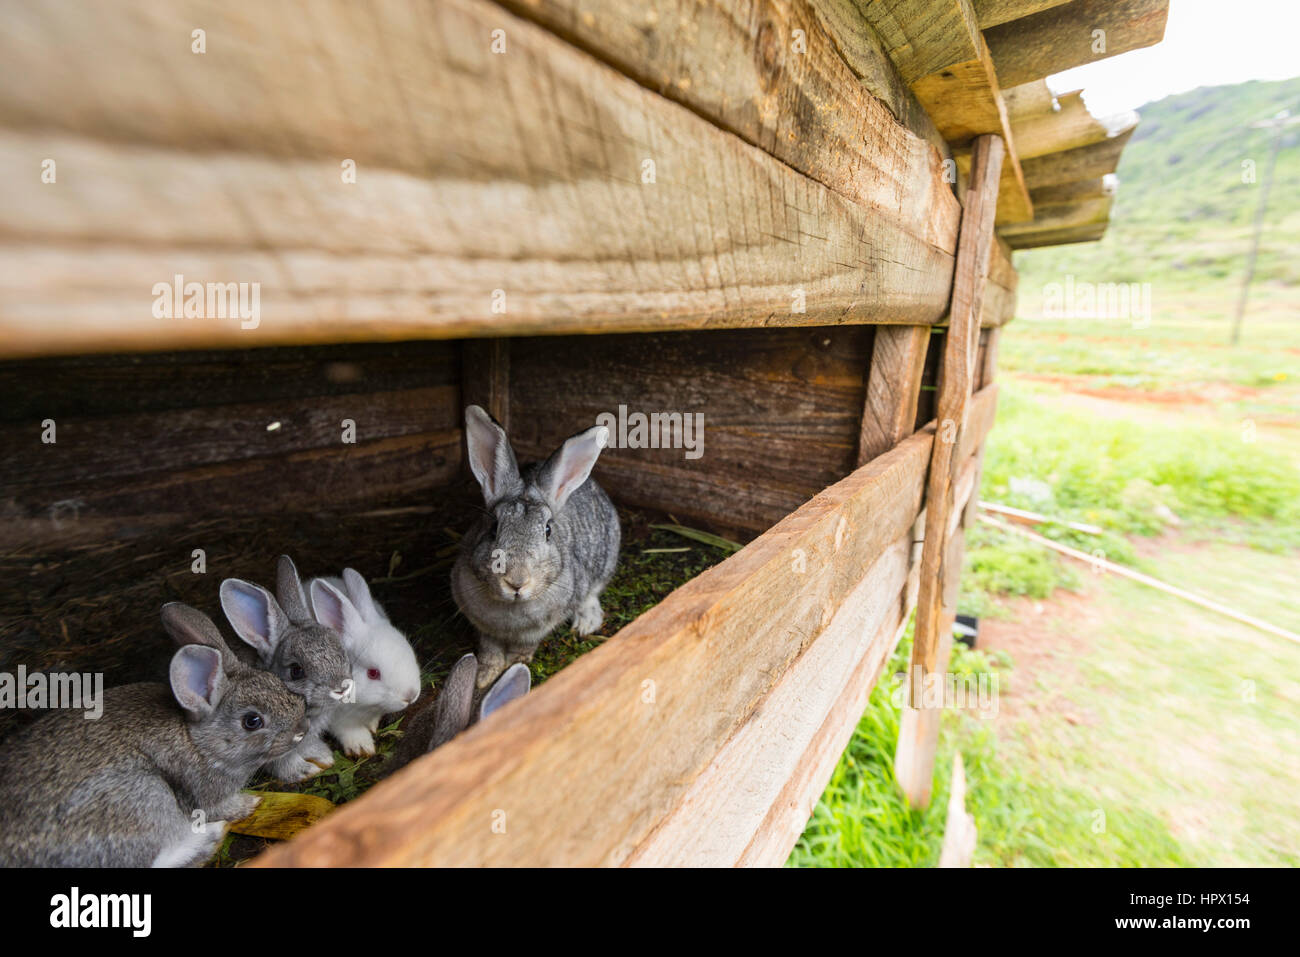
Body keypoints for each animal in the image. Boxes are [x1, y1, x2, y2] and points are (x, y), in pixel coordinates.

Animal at [0, 603, 308, 868]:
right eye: (252, 721)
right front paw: (249, 804)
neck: (197, 742)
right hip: (144, 798)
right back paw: (211, 836)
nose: (301, 731)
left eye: (277, 682)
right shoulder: (204, 794)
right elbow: (223, 806)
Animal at [214, 555, 351, 782]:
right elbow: (283, 763)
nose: (342, 688)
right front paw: (306, 770)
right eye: (296, 671)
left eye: (341, 652)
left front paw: (323, 756)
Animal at [305, 567, 422, 758]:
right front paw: (361, 748)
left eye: (409, 652)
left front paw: (372, 726)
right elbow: (348, 730)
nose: (410, 695)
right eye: (373, 673)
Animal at [452, 404, 620, 688]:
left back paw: (586, 622)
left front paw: (515, 666)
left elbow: (523, 650)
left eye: (548, 530)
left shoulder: (536, 631)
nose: (517, 582)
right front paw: (484, 677)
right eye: (493, 527)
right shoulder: (484, 630)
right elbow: (489, 650)